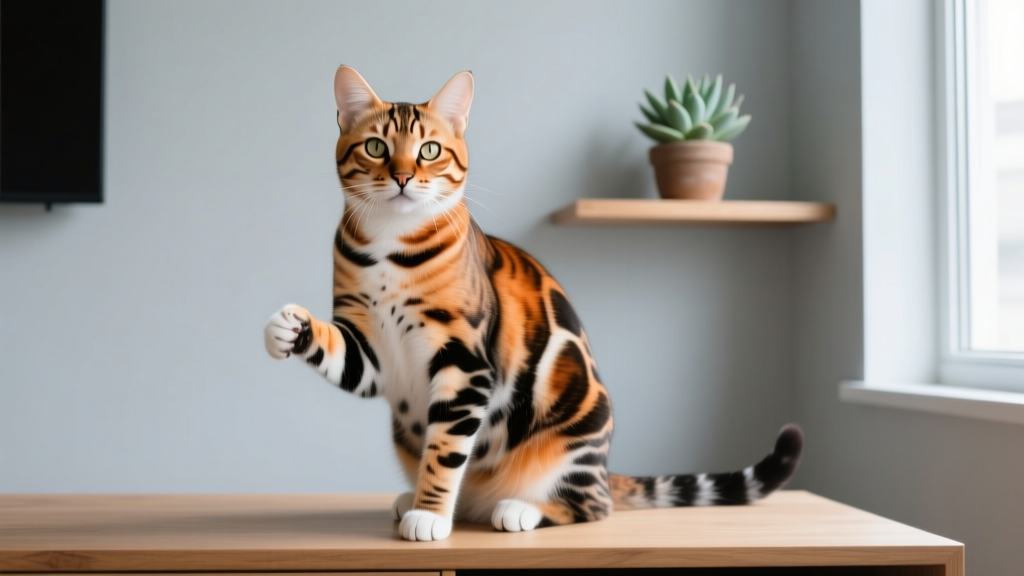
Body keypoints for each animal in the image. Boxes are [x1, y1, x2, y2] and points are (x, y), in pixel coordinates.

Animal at [263, 65, 803, 542]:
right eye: (376, 147)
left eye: (429, 150)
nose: (400, 177)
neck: (388, 247)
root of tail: (607, 470)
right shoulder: (373, 351)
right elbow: (342, 353)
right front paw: (289, 328)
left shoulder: (465, 362)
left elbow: (446, 449)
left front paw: (431, 515)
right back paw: (417, 499)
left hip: (577, 431)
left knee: (592, 506)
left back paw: (514, 508)